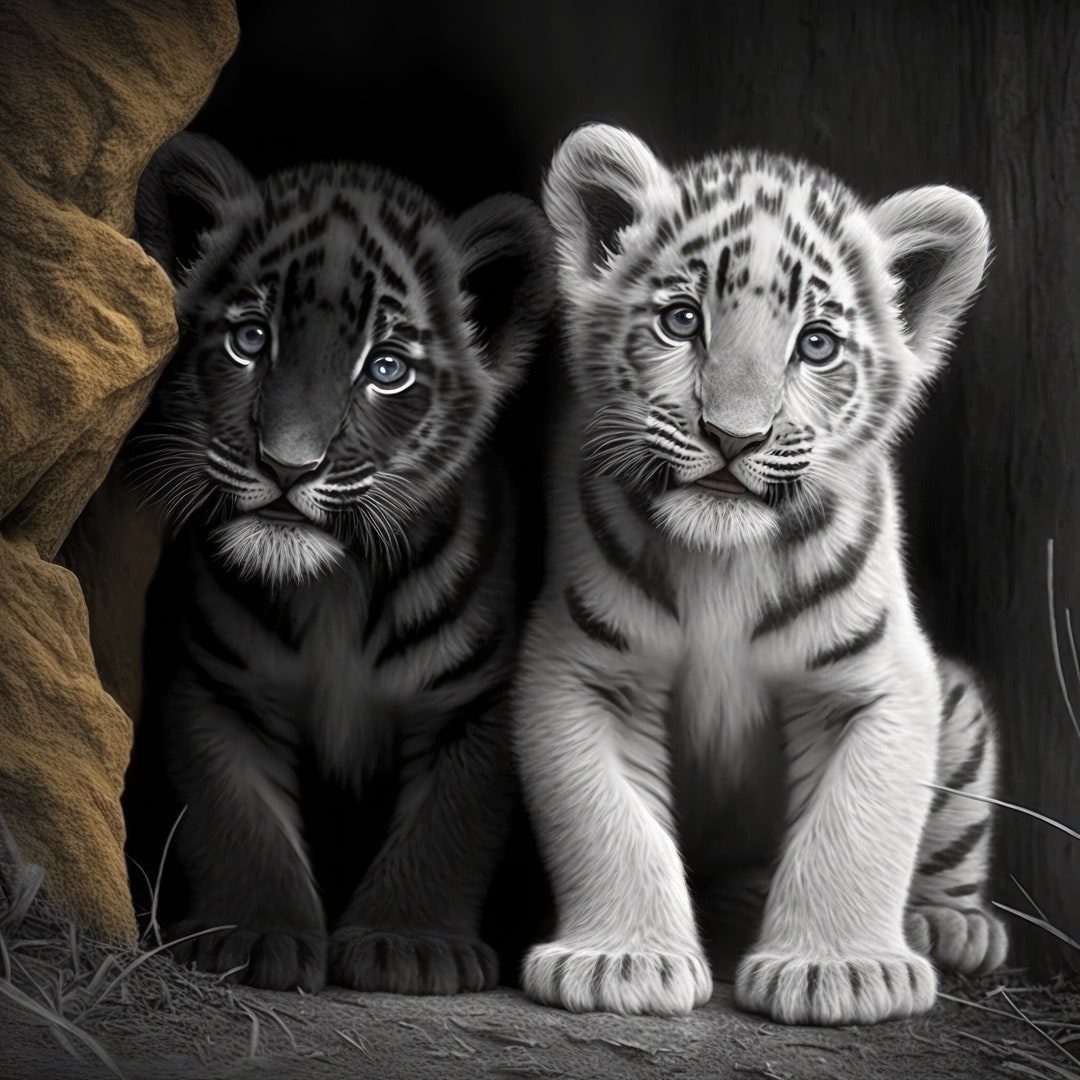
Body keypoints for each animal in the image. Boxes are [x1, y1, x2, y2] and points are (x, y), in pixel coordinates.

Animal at [122, 131, 552, 994]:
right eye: (250, 340)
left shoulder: (473, 704)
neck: (336, 587)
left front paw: (411, 945)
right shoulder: (218, 689)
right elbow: (236, 820)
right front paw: (252, 935)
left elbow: (449, 826)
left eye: (386, 368)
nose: (289, 466)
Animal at [512, 123, 1007, 1024]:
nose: (733, 437)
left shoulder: (879, 679)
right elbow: (609, 820)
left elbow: (856, 827)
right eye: (681, 321)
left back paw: (950, 926)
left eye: (815, 344)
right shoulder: (581, 668)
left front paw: (843, 972)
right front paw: (621, 962)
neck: (723, 559)